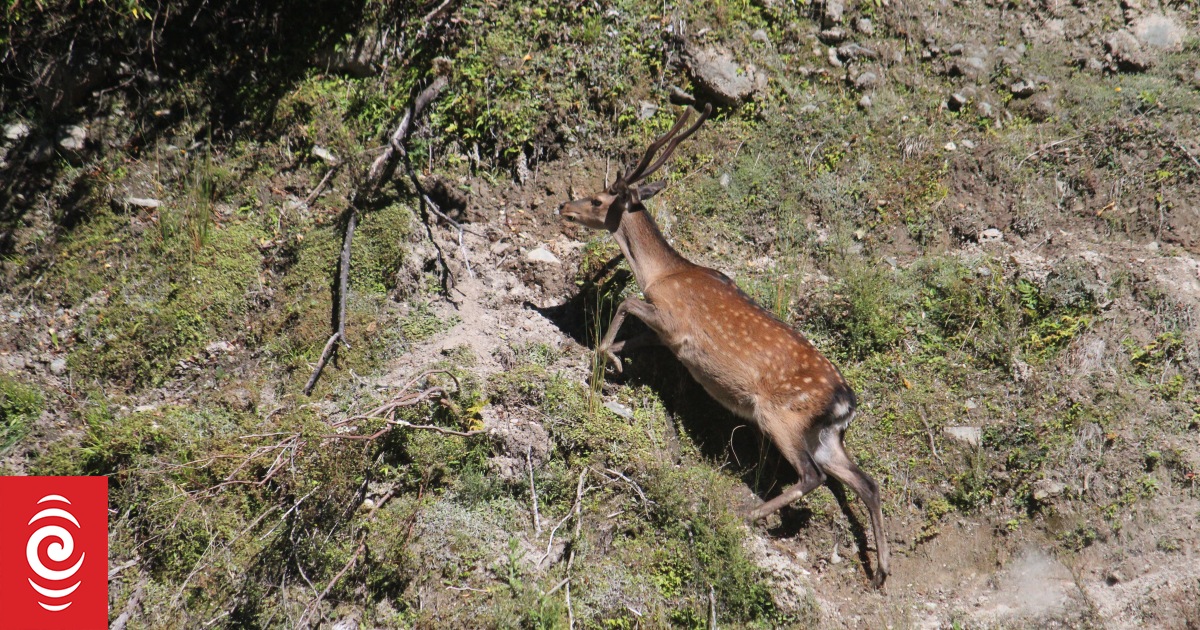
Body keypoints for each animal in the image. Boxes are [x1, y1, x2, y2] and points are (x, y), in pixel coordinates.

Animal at [557, 104, 890, 588]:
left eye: (599, 200)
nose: (564, 205)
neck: (662, 274)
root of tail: (847, 402)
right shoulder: (666, 336)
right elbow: (635, 333)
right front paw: (615, 356)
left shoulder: (675, 322)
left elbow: (625, 303)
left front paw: (606, 359)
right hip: (827, 436)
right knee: (867, 482)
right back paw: (882, 570)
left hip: (782, 416)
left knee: (813, 477)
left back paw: (750, 516)